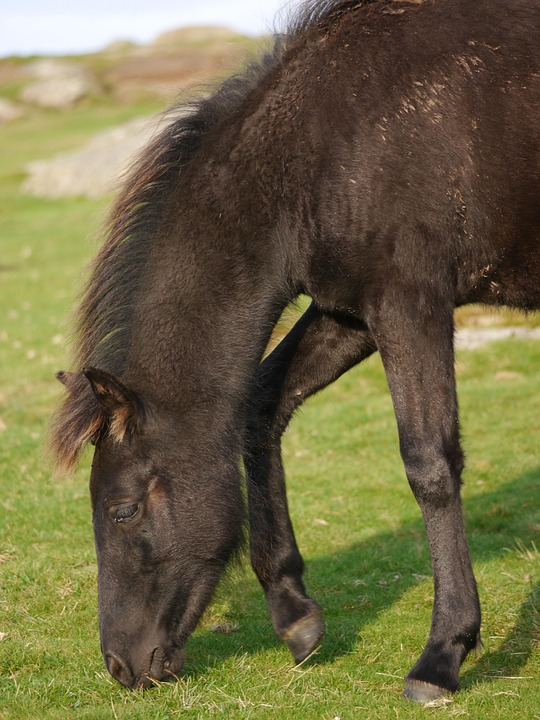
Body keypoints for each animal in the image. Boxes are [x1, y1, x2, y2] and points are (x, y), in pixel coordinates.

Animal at [50, 0, 539, 703]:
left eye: (123, 510)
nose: (119, 664)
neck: (318, 153)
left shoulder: (409, 301)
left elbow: (430, 465)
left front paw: (442, 653)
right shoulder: (348, 311)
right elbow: (261, 404)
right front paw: (294, 612)